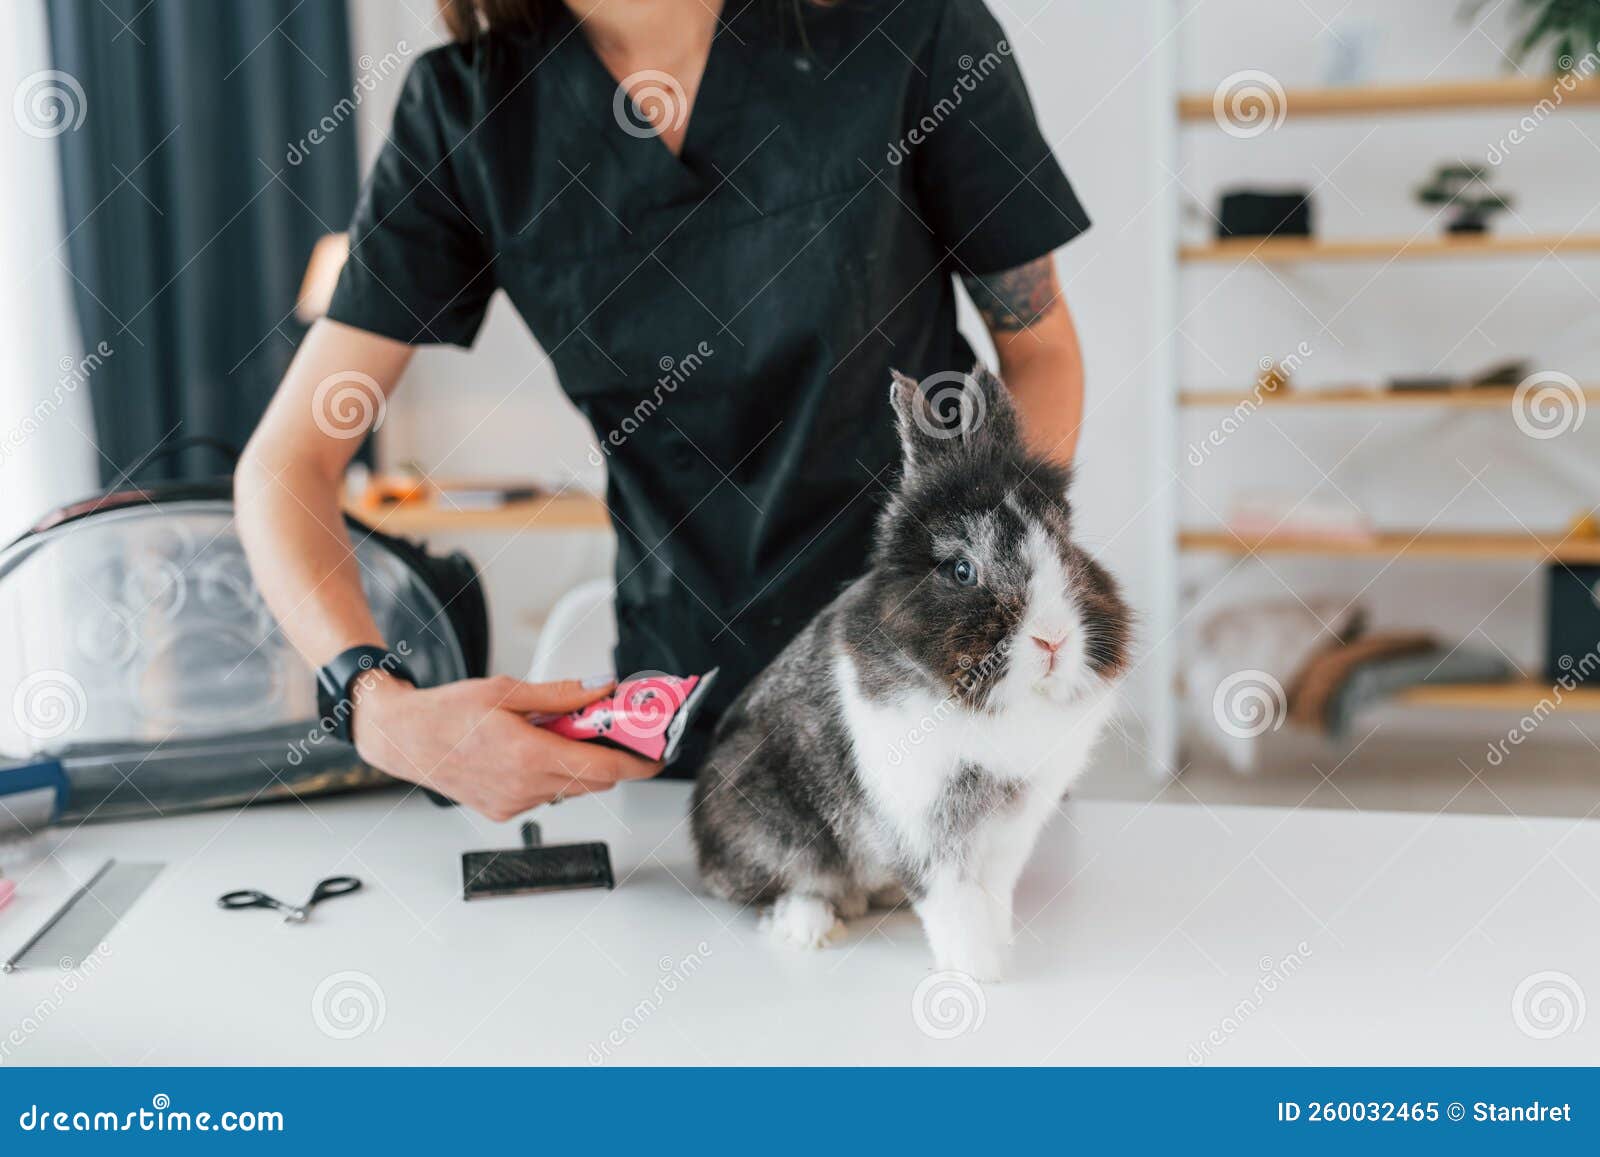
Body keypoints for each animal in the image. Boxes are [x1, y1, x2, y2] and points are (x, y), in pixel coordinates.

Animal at [690, 365, 1131, 980]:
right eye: (962, 571)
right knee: (776, 885)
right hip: (764, 819)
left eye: (1066, 547)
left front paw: (999, 949)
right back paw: (812, 924)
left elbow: (991, 896)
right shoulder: (926, 823)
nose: (1053, 639)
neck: (993, 703)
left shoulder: (1008, 832)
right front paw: (978, 971)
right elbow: (952, 899)